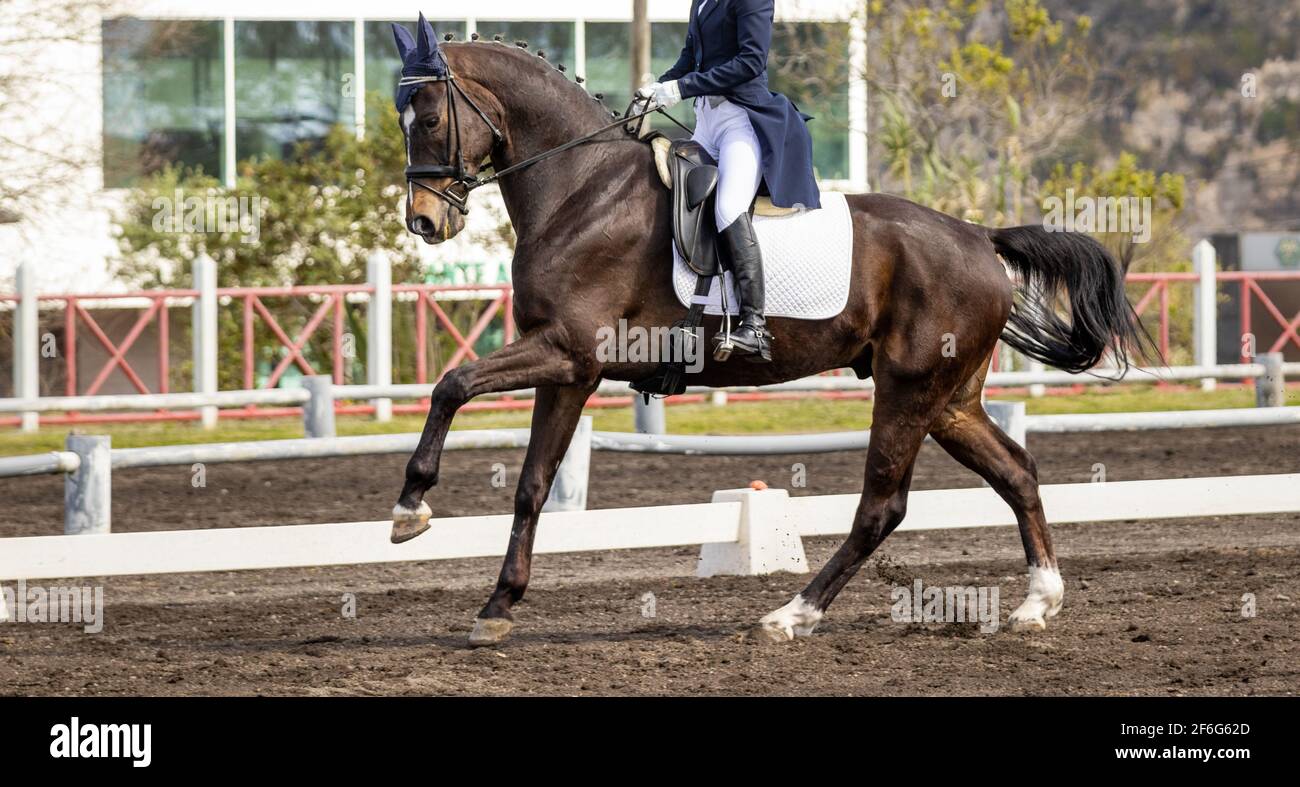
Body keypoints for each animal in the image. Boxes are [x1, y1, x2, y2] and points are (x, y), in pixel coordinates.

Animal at [390, 39, 1150, 647]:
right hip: (950, 400)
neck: (581, 190)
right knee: (1016, 472)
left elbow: (452, 385)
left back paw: (791, 615)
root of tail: (978, 236)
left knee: (883, 505)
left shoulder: (568, 350)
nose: (424, 222)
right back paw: (1037, 603)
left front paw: (410, 508)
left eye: (429, 119)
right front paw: (496, 607)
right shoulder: (570, 371)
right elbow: (531, 486)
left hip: (909, 389)